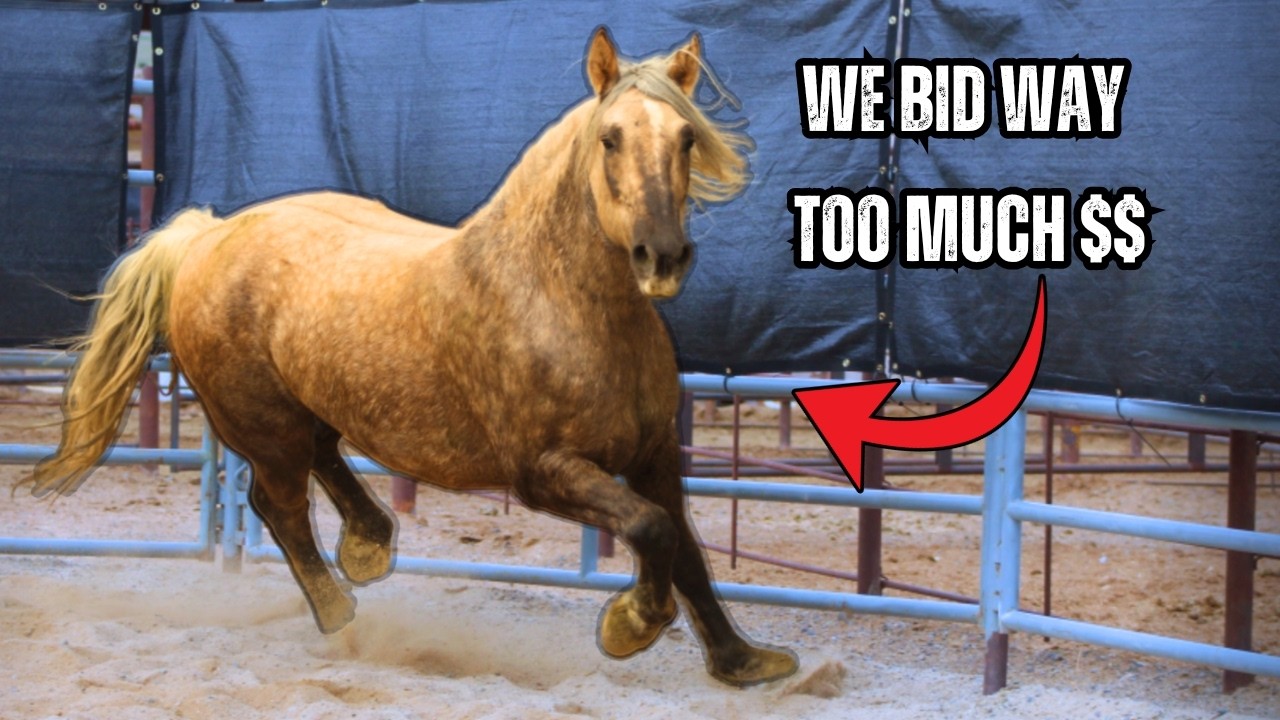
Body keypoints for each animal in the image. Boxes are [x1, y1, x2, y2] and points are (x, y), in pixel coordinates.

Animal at [29, 28, 798, 686]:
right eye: (611, 138)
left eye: (686, 137)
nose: (661, 257)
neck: (560, 303)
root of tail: (207, 236)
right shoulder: (543, 471)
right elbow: (651, 530)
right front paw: (631, 625)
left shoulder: (654, 452)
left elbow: (686, 550)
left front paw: (742, 662)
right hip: (261, 422)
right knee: (279, 505)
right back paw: (337, 611)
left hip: (312, 401)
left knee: (324, 459)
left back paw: (369, 545)